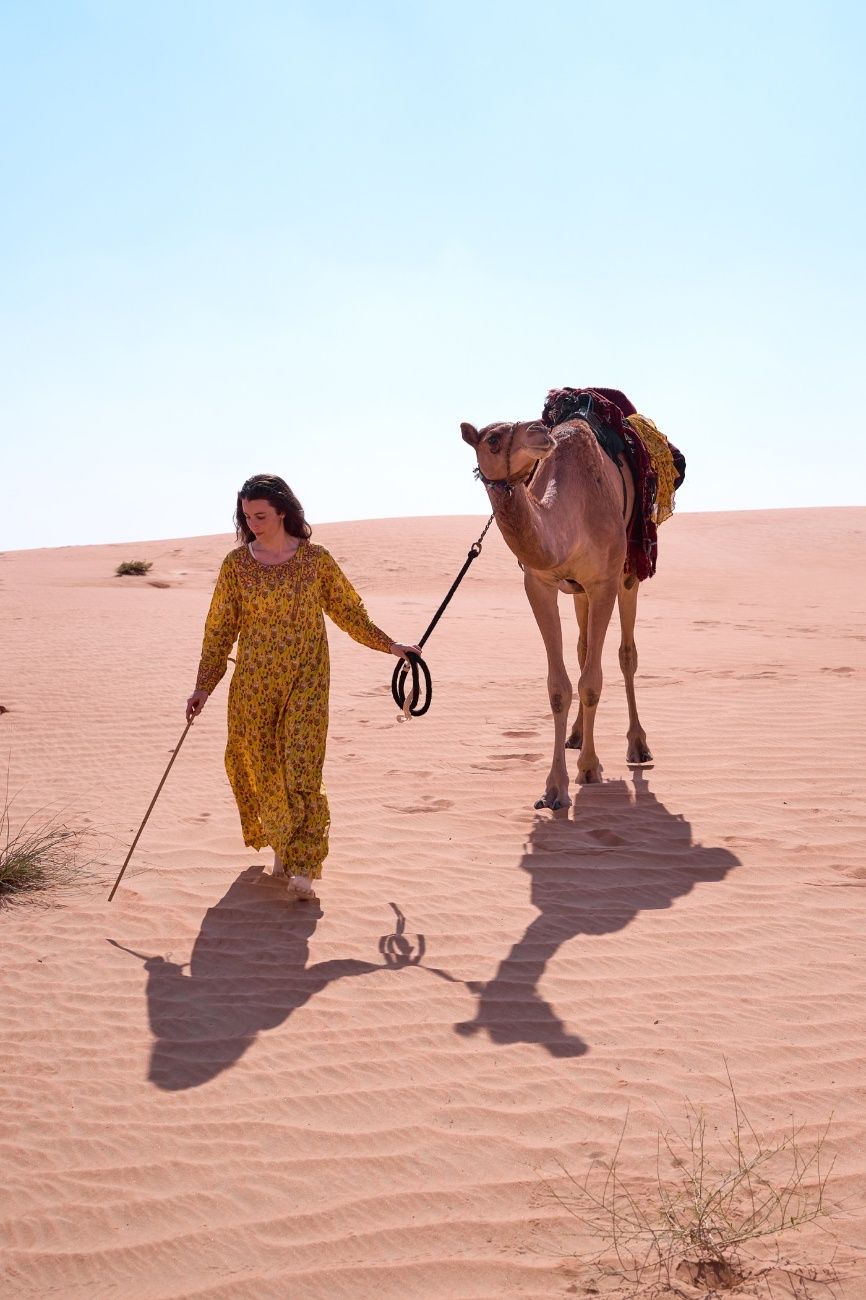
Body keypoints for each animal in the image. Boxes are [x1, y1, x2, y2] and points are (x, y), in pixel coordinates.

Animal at [461, 410, 652, 810]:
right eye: (492, 440)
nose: (539, 431)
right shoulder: (539, 584)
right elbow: (559, 688)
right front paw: (553, 789)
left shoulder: (603, 582)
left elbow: (592, 683)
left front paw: (589, 769)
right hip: (579, 593)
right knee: (583, 650)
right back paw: (577, 735)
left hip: (629, 572)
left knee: (625, 654)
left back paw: (638, 745)